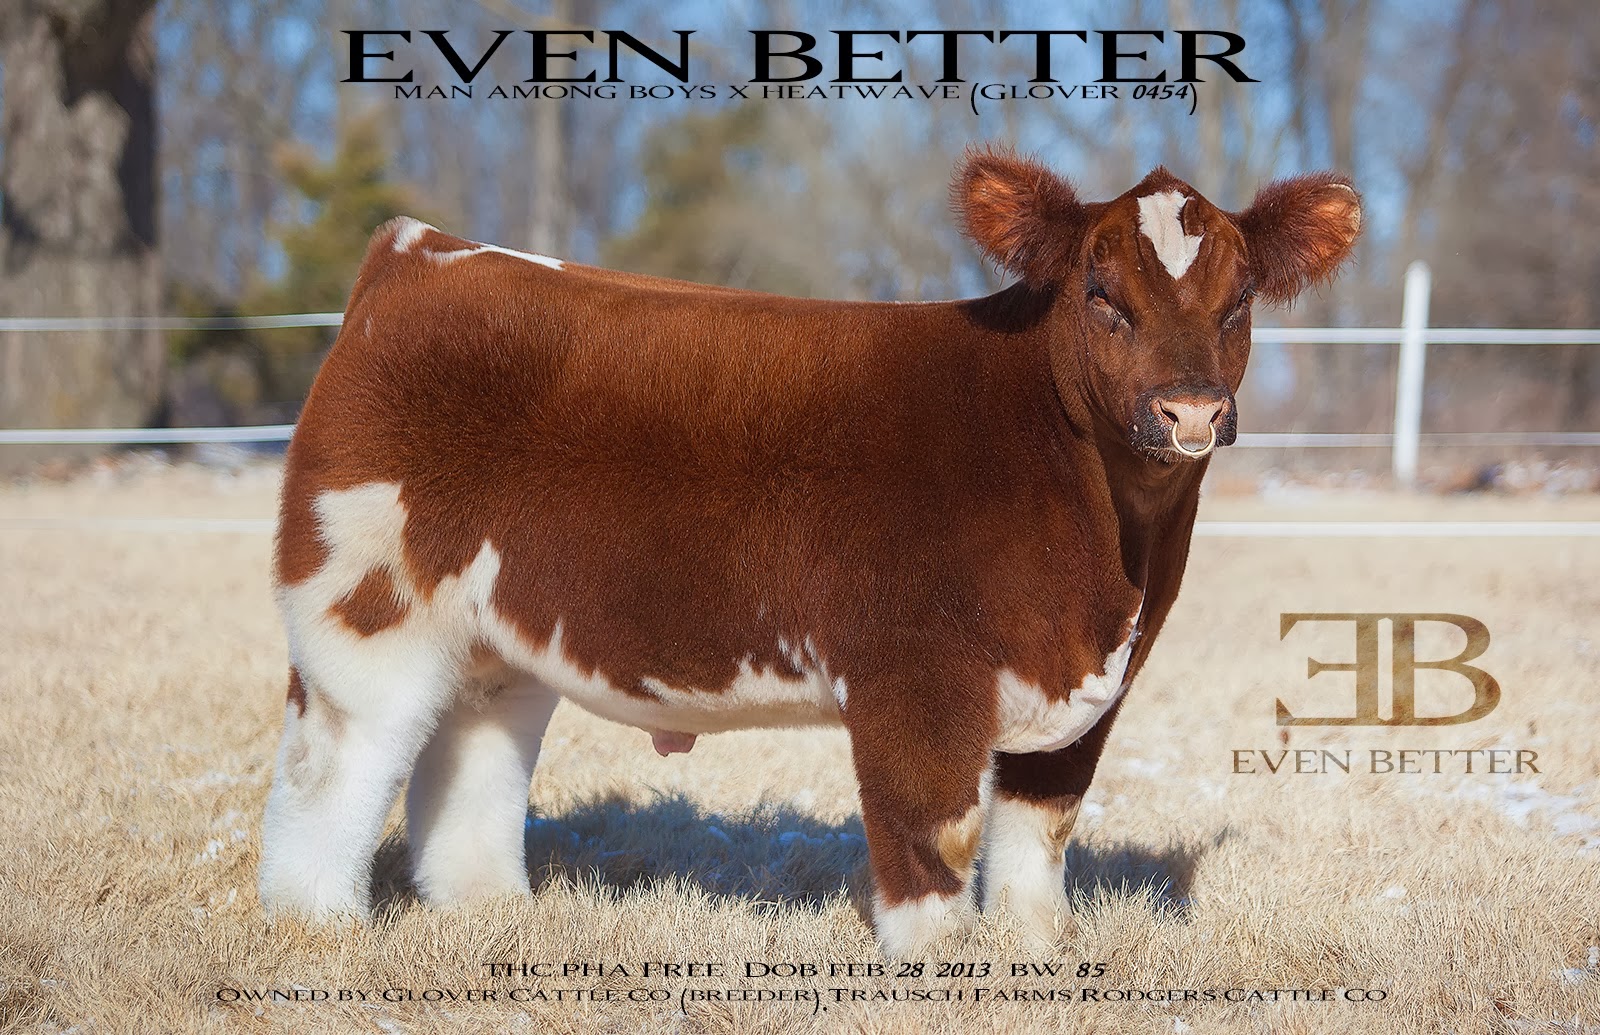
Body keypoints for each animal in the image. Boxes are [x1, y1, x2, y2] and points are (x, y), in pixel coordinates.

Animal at [259, 148, 1361, 958]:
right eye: (1099, 290)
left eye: (1241, 297)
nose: (1190, 410)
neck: (1105, 561)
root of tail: (420, 252)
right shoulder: (913, 673)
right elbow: (935, 829)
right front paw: (939, 968)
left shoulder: (1097, 687)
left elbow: (1039, 833)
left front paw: (1036, 952)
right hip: (366, 599)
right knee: (338, 761)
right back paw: (316, 927)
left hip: (493, 633)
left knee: (470, 754)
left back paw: (489, 911)